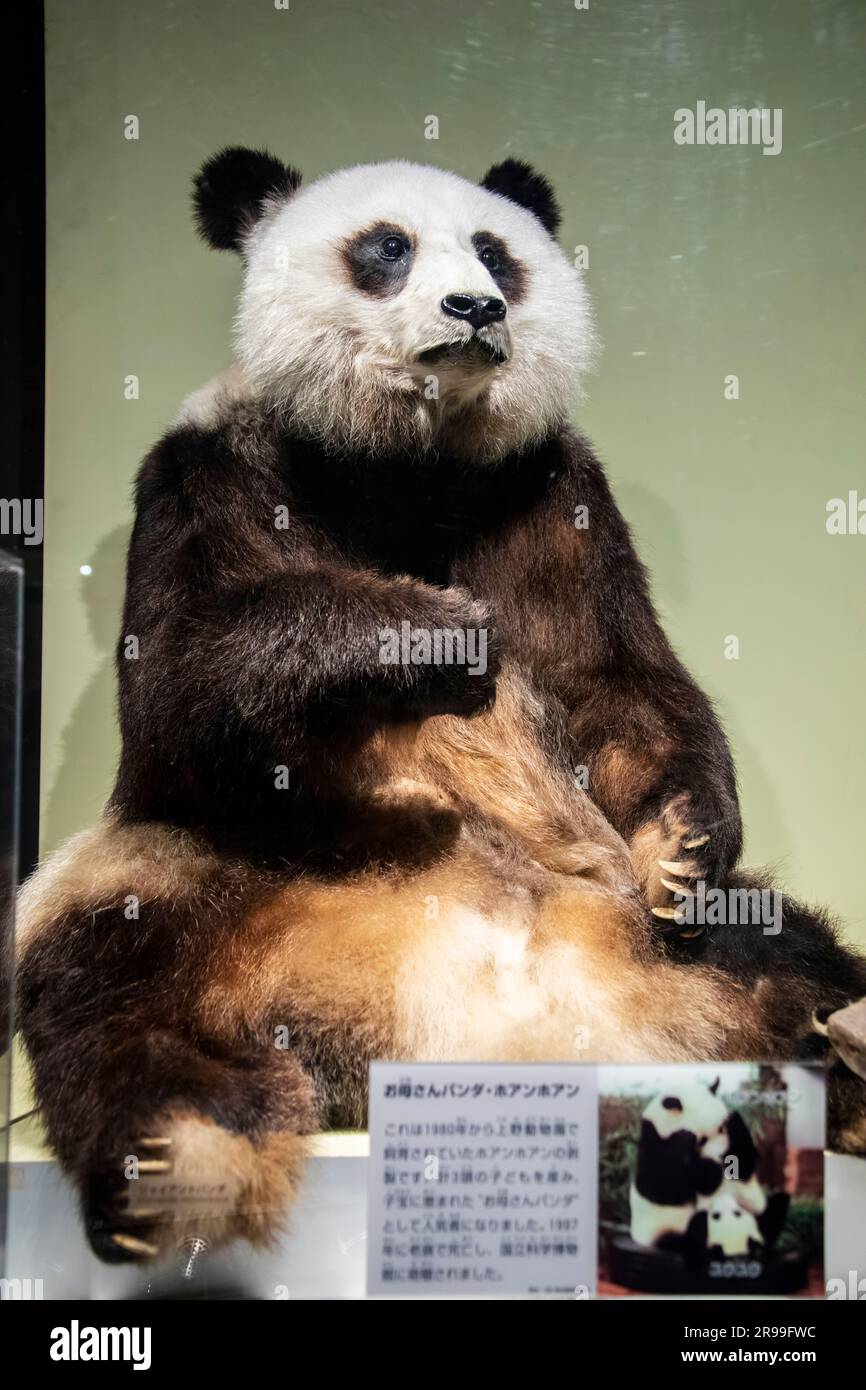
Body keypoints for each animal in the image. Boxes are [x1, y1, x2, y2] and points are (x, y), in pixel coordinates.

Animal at [629, 1077, 767, 1250]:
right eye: (703, 1140)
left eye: (721, 1129)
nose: (722, 1155)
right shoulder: (651, 1145)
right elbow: (662, 1186)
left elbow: (746, 1158)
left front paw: (734, 1121)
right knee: (683, 1238)